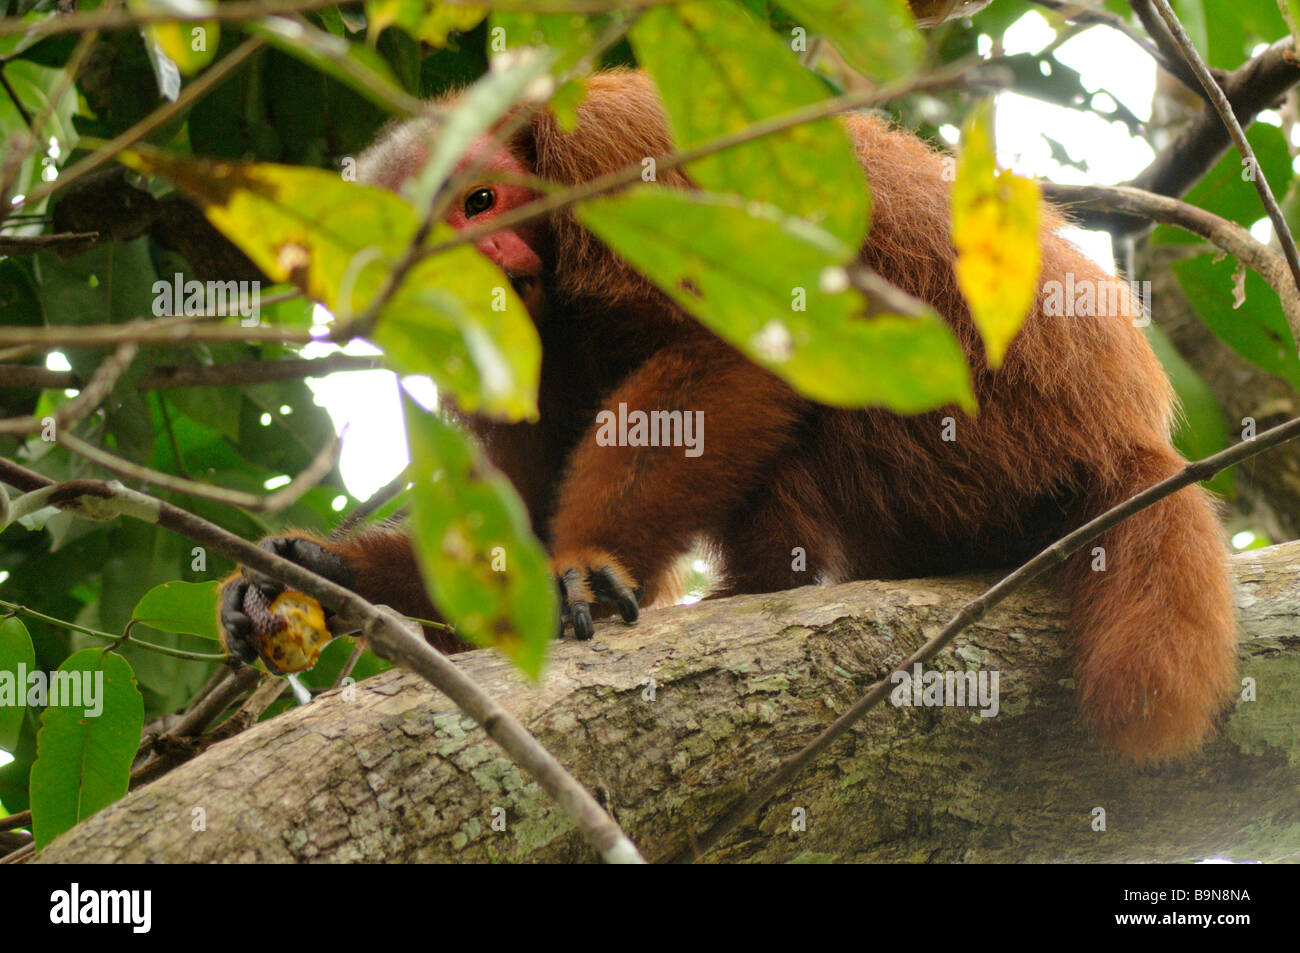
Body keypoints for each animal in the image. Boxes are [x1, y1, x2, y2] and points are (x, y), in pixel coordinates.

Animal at [220, 70, 1238, 763]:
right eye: (432, 245)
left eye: (482, 202)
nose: (498, 261)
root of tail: (1126, 443)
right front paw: (317, 570)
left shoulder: (618, 150)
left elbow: (740, 346)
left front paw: (586, 562)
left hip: (984, 445)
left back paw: (774, 583)